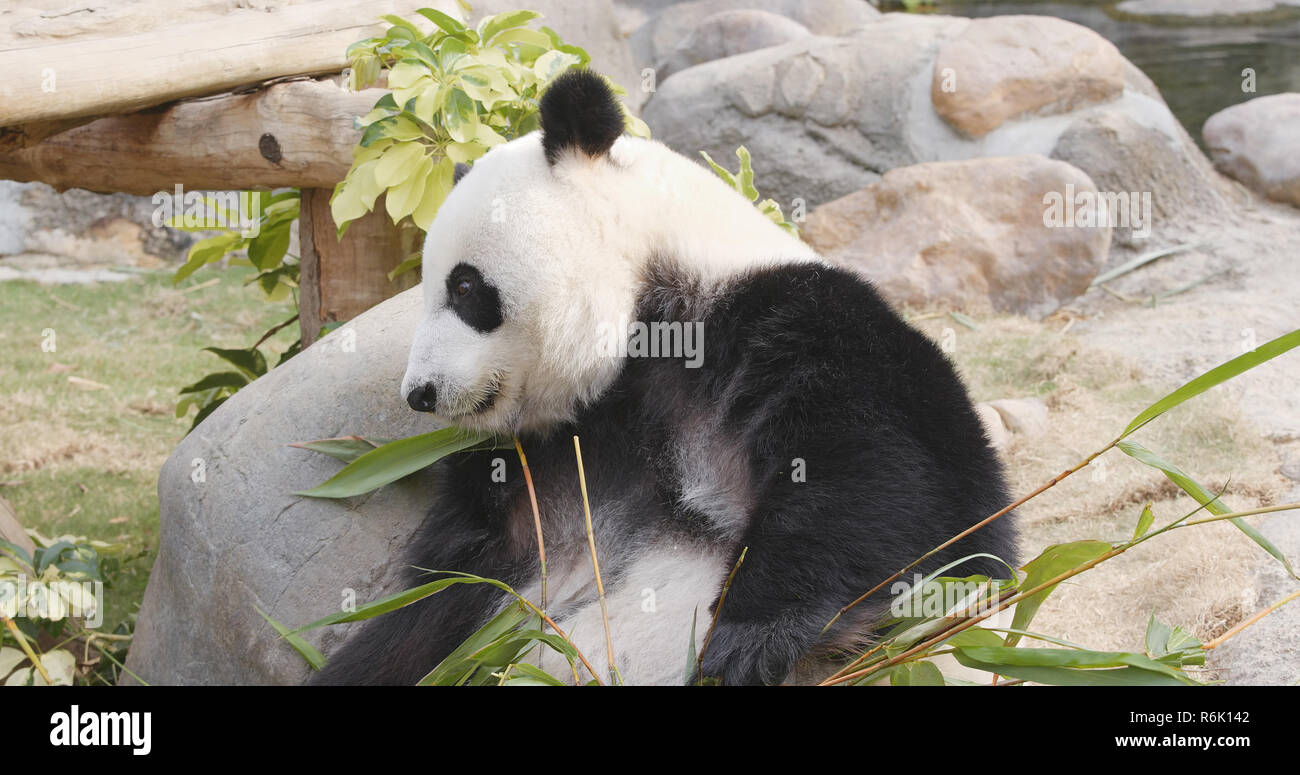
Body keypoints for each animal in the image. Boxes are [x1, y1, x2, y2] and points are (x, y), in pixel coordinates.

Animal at [311, 70, 1016, 686]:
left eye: (463, 287)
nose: (420, 394)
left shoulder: (791, 322)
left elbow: (911, 493)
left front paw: (751, 639)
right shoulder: (557, 457)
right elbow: (445, 599)